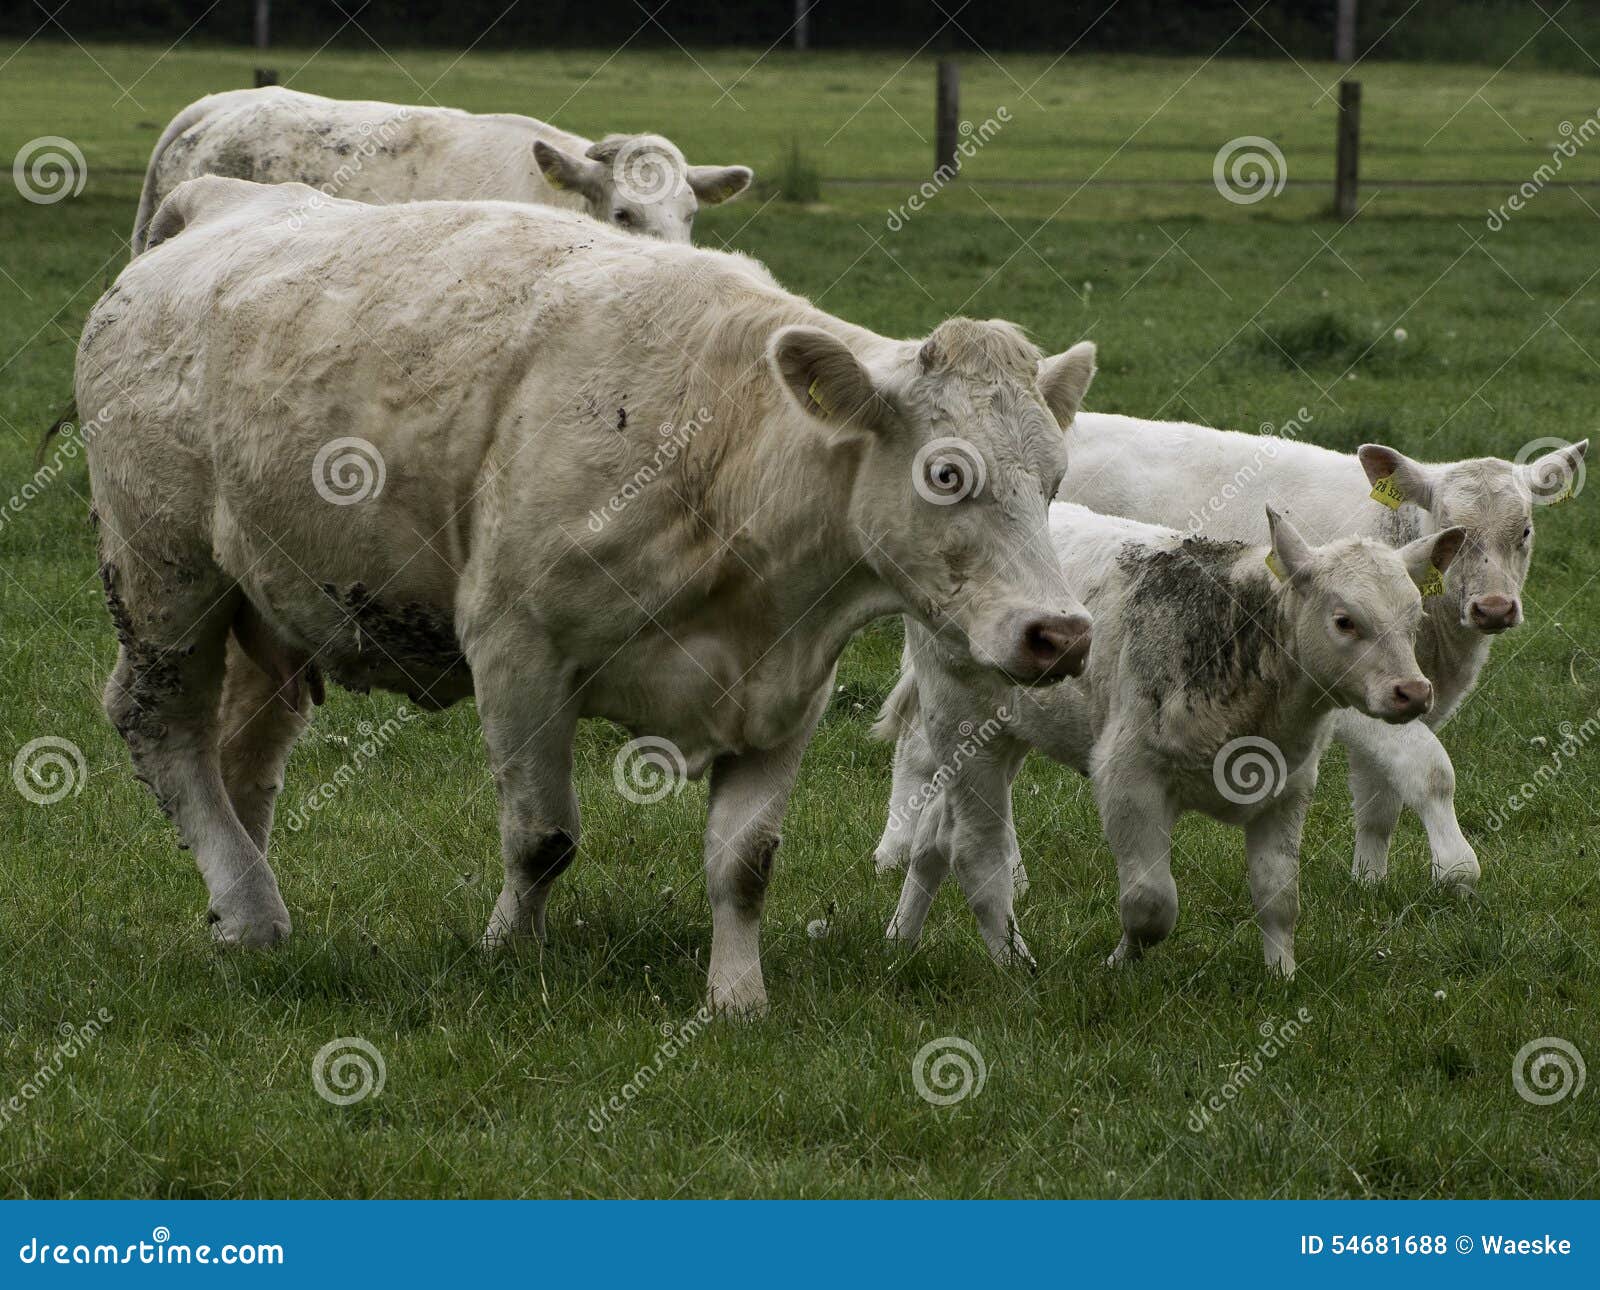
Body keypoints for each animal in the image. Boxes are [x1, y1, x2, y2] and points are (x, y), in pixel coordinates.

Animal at [79, 175, 1097, 1017]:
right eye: (945, 474)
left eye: (1054, 477)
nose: (1060, 634)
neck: (725, 452)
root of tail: (223, 202)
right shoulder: (518, 651)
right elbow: (542, 836)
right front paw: (508, 953)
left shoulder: (788, 691)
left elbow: (745, 862)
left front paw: (736, 998)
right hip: (165, 576)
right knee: (161, 724)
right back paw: (252, 909)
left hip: (265, 599)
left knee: (241, 755)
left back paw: (236, 899)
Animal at [875, 503, 1465, 976]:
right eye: (1345, 621)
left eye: (1415, 619)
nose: (1413, 692)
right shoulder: (1127, 777)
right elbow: (1151, 903)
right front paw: (1118, 964)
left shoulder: (1290, 787)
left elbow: (1279, 896)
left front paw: (1282, 976)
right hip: (959, 718)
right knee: (975, 850)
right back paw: (1014, 967)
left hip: (1008, 731)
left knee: (934, 837)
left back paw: (901, 939)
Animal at [1058, 412, 1587, 888]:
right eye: (1452, 530)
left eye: (1524, 531)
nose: (1494, 608)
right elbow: (1430, 770)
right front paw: (1455, 870)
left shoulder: (1403, 694)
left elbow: (1379, 801)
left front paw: (1368, 883)